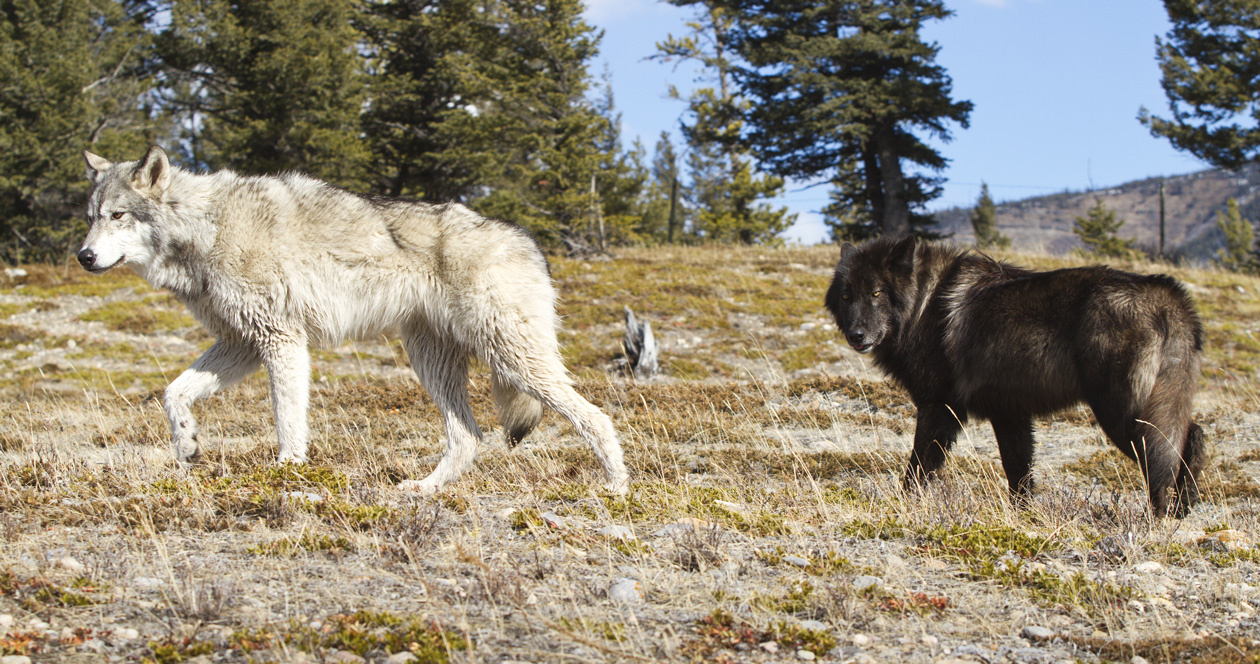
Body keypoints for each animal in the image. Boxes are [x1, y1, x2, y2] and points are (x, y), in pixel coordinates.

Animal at [78, 145, 629, 494]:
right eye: (90, 216)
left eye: (118, 215)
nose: (83, 256)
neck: (205, 227)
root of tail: (529, 242)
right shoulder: (242, 344)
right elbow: (173, 394)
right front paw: (188, 446)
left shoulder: (280, 340)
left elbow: (287, 421)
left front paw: (285, 475)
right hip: (433, 362)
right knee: (468, 438)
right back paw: (424, 490)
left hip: (513, 361)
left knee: (597, 417)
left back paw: (618, 488)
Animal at [825, 236, 1206, 516]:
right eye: (846, 295)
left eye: (876, 293)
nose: (856, 335)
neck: (923, 303)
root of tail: (1168, 295)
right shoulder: (1010, 414)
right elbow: (1018, 474)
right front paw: (1022, 518)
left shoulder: (939, 410)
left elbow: (917, 469)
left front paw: (902, 506)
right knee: (1194, 437)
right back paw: (1182, 511)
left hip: (1120, 416)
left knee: (1166, 453)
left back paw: (1158, 517)